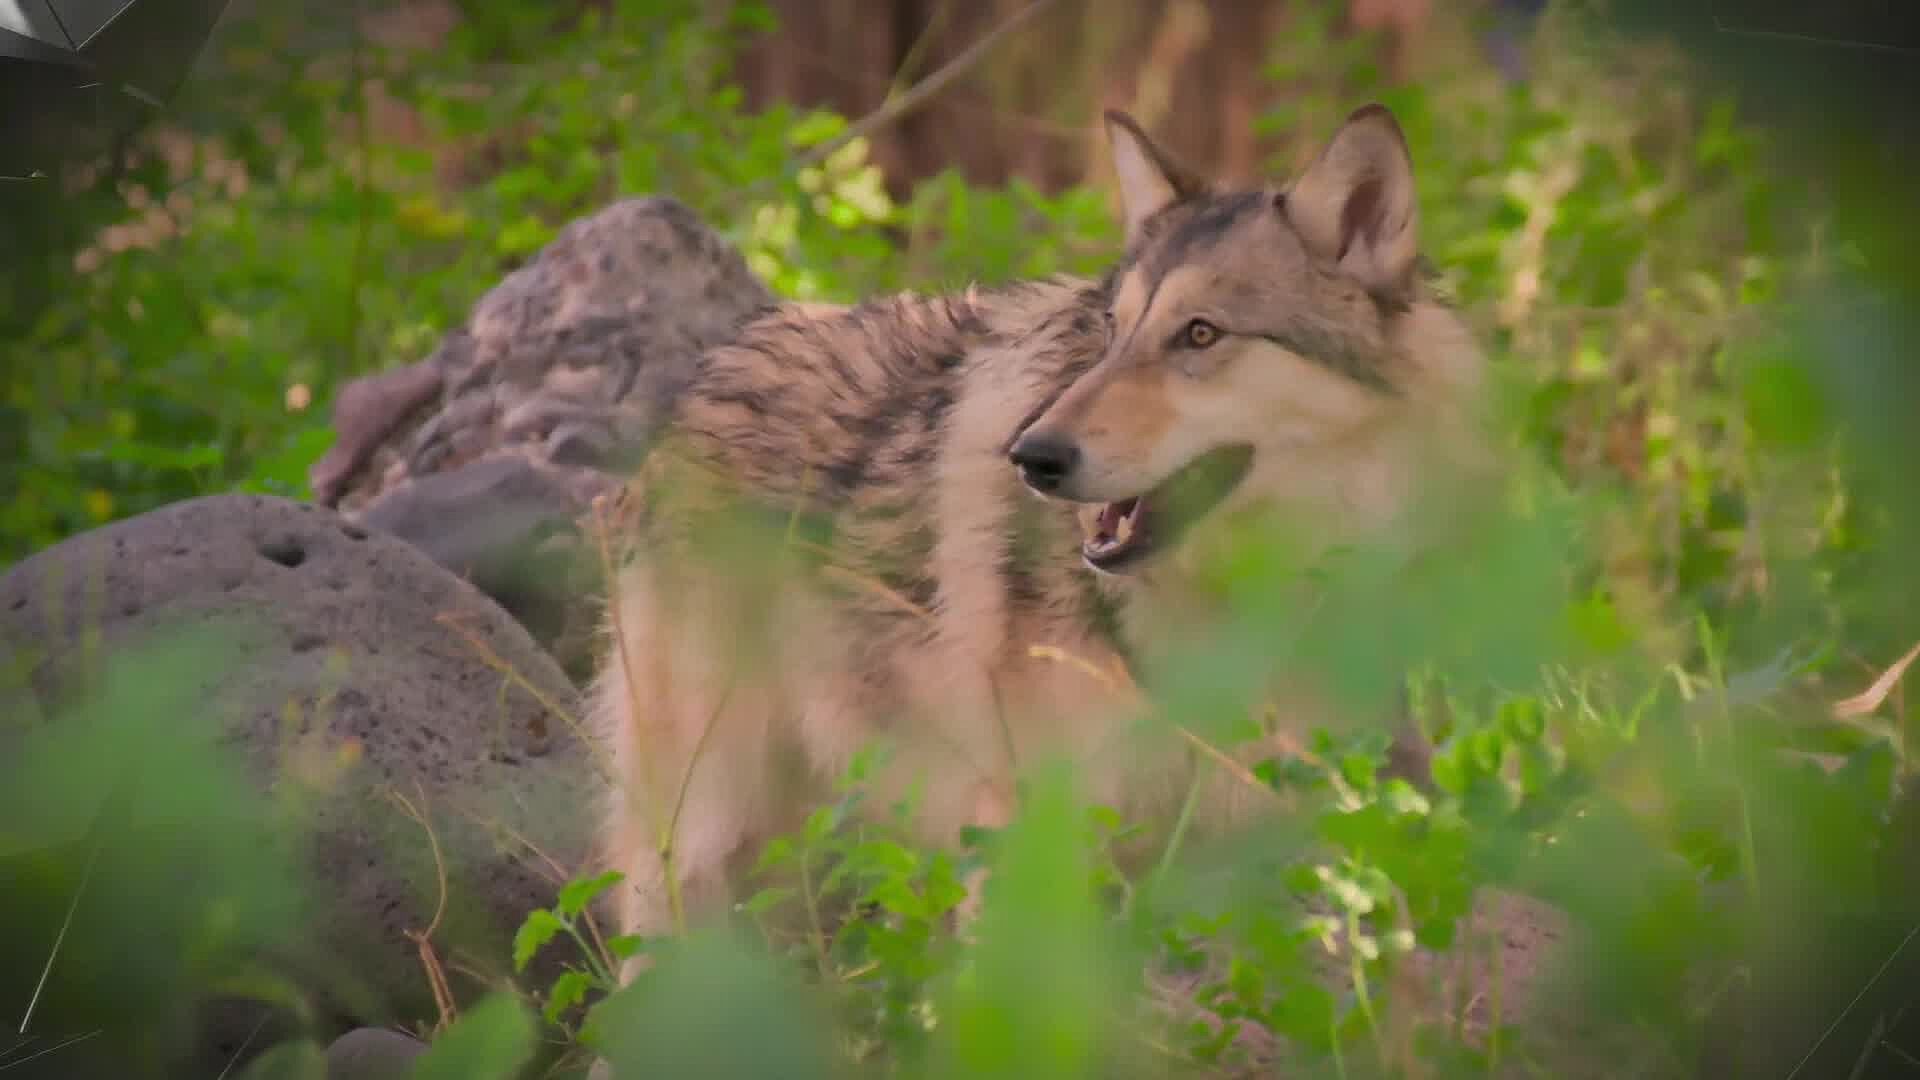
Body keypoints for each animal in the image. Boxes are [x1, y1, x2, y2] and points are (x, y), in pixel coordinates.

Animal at [587, 104, 1488, 974]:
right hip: (698, 842)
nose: (1033, 456)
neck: (1241, 609)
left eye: (1200, 334)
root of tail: (708, 373)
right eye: (1114, 331)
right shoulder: (1030, 854)